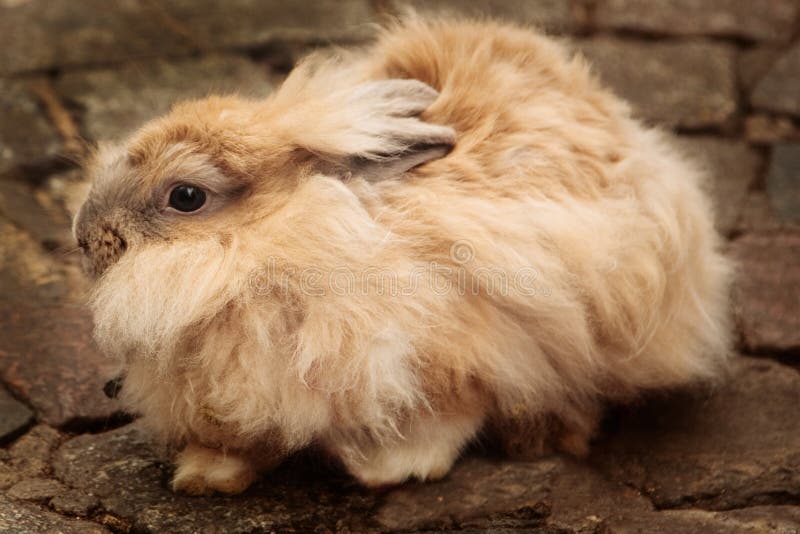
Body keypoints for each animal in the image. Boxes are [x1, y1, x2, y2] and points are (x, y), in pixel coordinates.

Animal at [74, 16, 733, 494]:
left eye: (186, 196)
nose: (85, 237)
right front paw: (204, 478)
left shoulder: (464, 356)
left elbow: (449, 416)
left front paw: (388, 468)